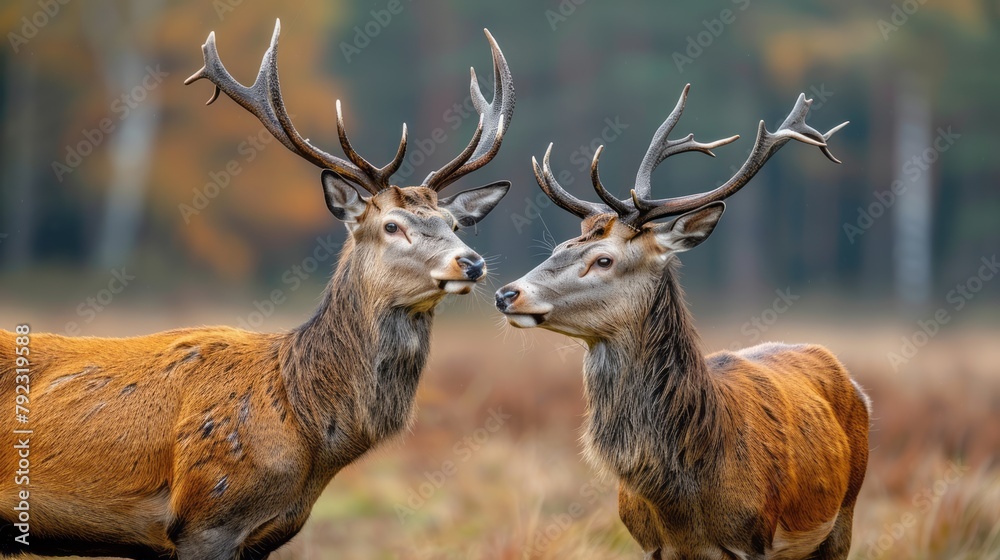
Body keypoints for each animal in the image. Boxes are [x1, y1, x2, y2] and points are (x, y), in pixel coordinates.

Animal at [0, 19, 514, 560]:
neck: (309, 431)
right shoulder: (207, 518)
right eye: (392, 225)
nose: (472, 262)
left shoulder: (265, 536)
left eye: (454, 224)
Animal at [495, 85, 870, 559]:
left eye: (604, 259)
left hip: (845, 513)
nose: (507, 294)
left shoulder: (755, 539)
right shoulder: (648, 543)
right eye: (561, 246)